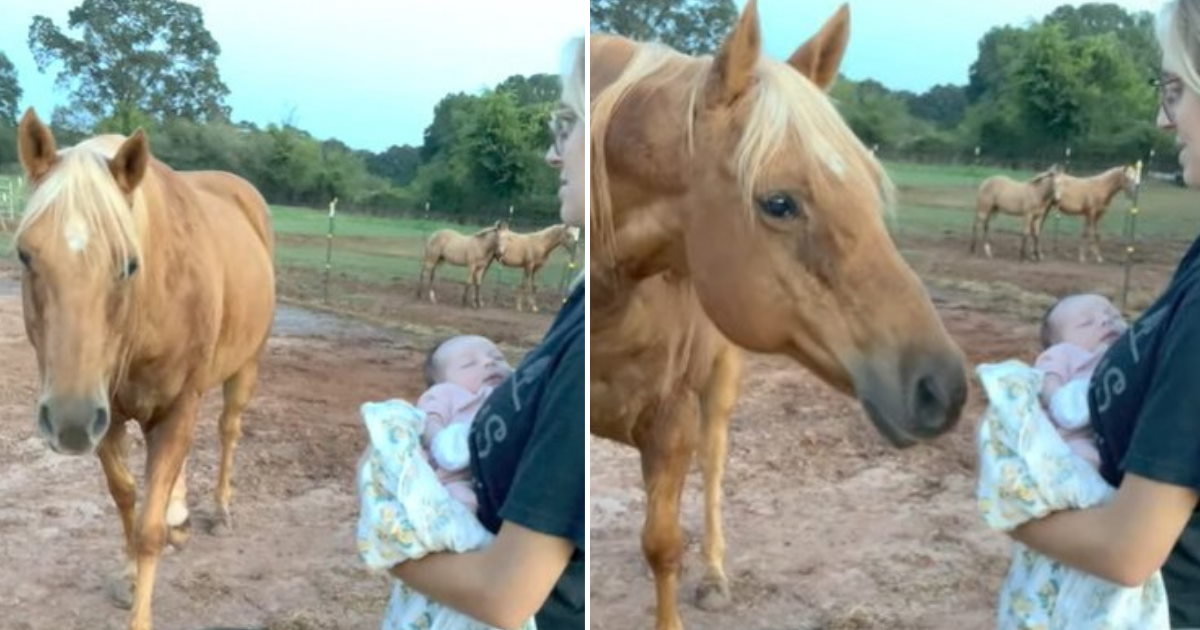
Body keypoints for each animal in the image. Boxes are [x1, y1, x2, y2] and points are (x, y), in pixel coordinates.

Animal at [13, 108, 275, 630]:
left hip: (244, 367)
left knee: (228, 430)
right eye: (25, 256)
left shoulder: (175, 408)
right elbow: (127, 497)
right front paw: (130, 572)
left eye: (129, 265)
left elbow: (148, 527)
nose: (68, 422)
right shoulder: (108, 415)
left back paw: (218, 510)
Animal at [589, 4, 969, 629]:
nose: (942, 389)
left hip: (718, 390)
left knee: (713, 469)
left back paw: (715, 575)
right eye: (779, 203)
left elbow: (663, 546)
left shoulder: (671, 422)